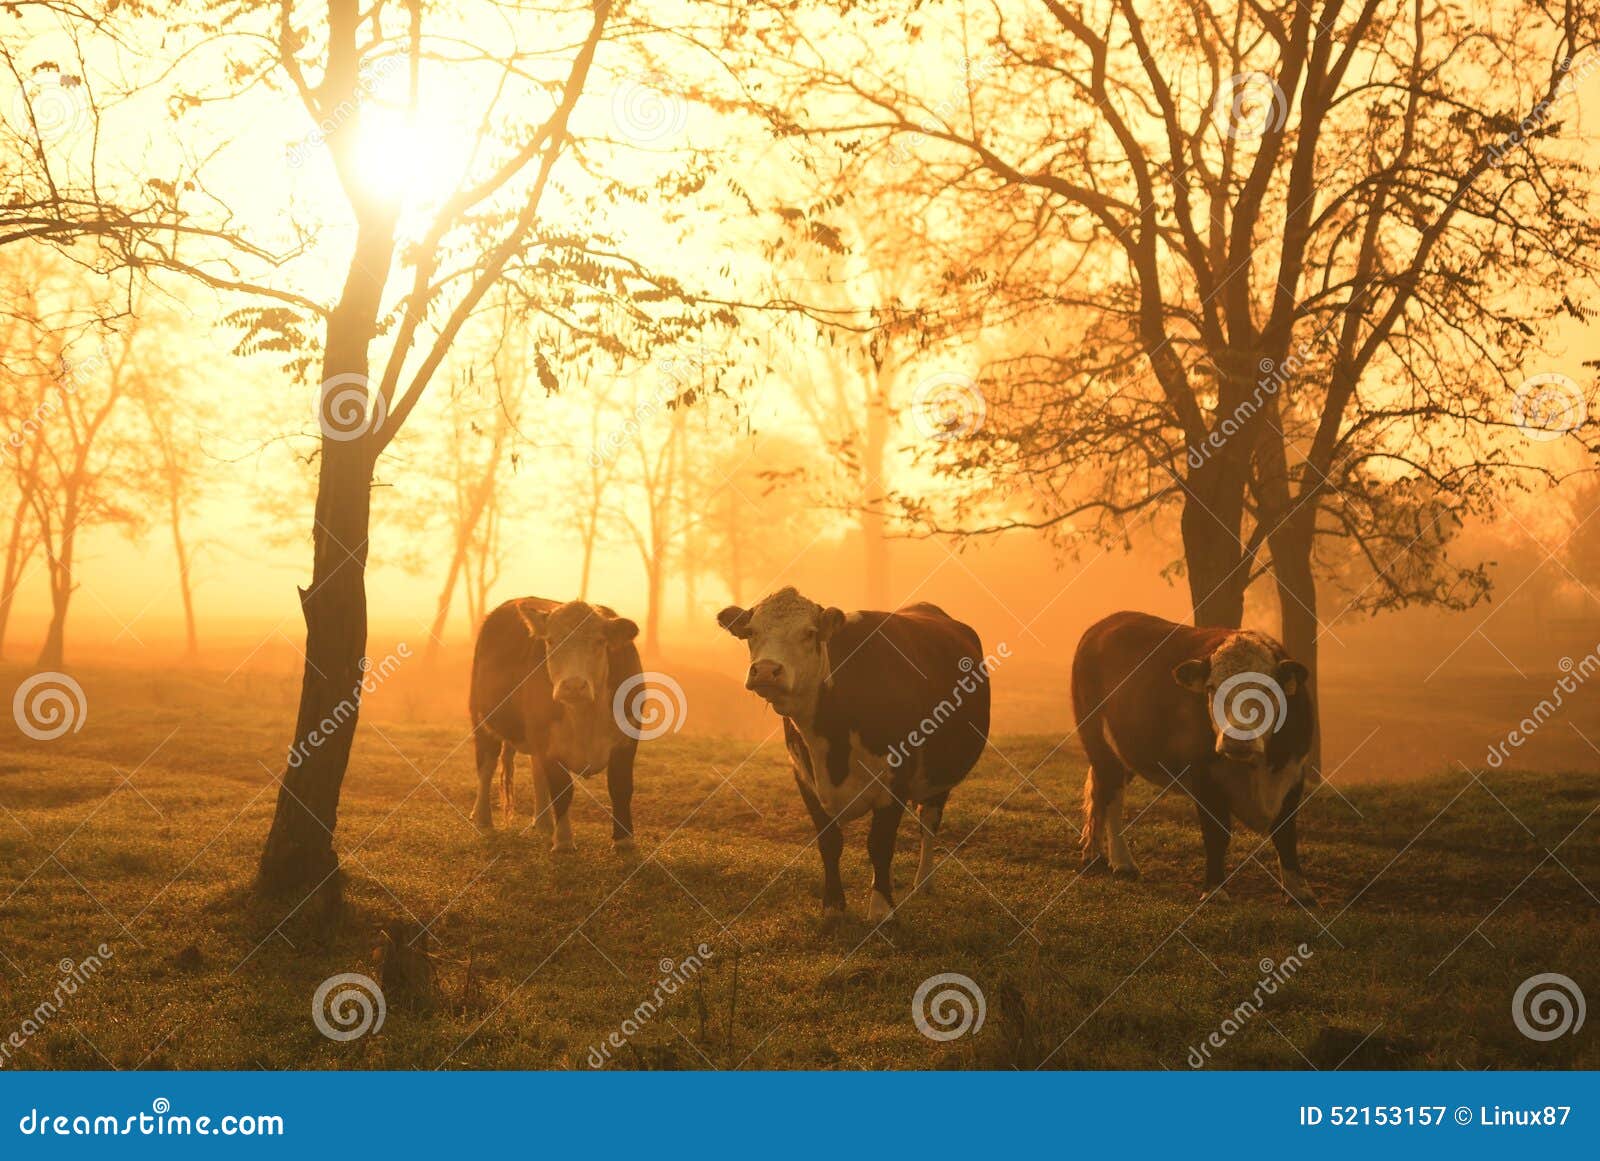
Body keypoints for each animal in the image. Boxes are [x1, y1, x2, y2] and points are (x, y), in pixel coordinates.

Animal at [469, 597, 643, 853]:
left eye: (600, 641)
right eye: (551, 641)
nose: (573, 686)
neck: (584, 716)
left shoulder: (627, 739)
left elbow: (620, 786)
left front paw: (624, 840)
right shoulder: (547, 741)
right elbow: (562, 789)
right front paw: (563, 841)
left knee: (536, 772)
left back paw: (543, 824)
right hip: (482, 720)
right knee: (486, 765)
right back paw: (482, 818)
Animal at [717, 587, 991, 924]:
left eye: (809, 633)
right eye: (752, 632)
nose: (767, 670)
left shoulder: (896, 778)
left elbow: (880, 844)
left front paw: (882, 908)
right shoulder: (805, 777)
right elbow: (830, 843)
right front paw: (833, 905)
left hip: (940, 774)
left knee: (929, 821)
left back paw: (924, 881)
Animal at [1071, 611, 1317, 905]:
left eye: (1269, 690)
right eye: (1212, 688)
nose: (1236, 740)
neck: (1255, 770)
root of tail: (1107, 621)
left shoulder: (1294, 771)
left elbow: (1285, 832)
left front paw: (1298, 890)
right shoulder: (1203, 775)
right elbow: (1217, 834)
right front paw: (1215, 889)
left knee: (1101, 791)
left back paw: (1094, 850)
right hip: (1096, 739)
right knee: (1111, 796)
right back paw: (1121, 862)